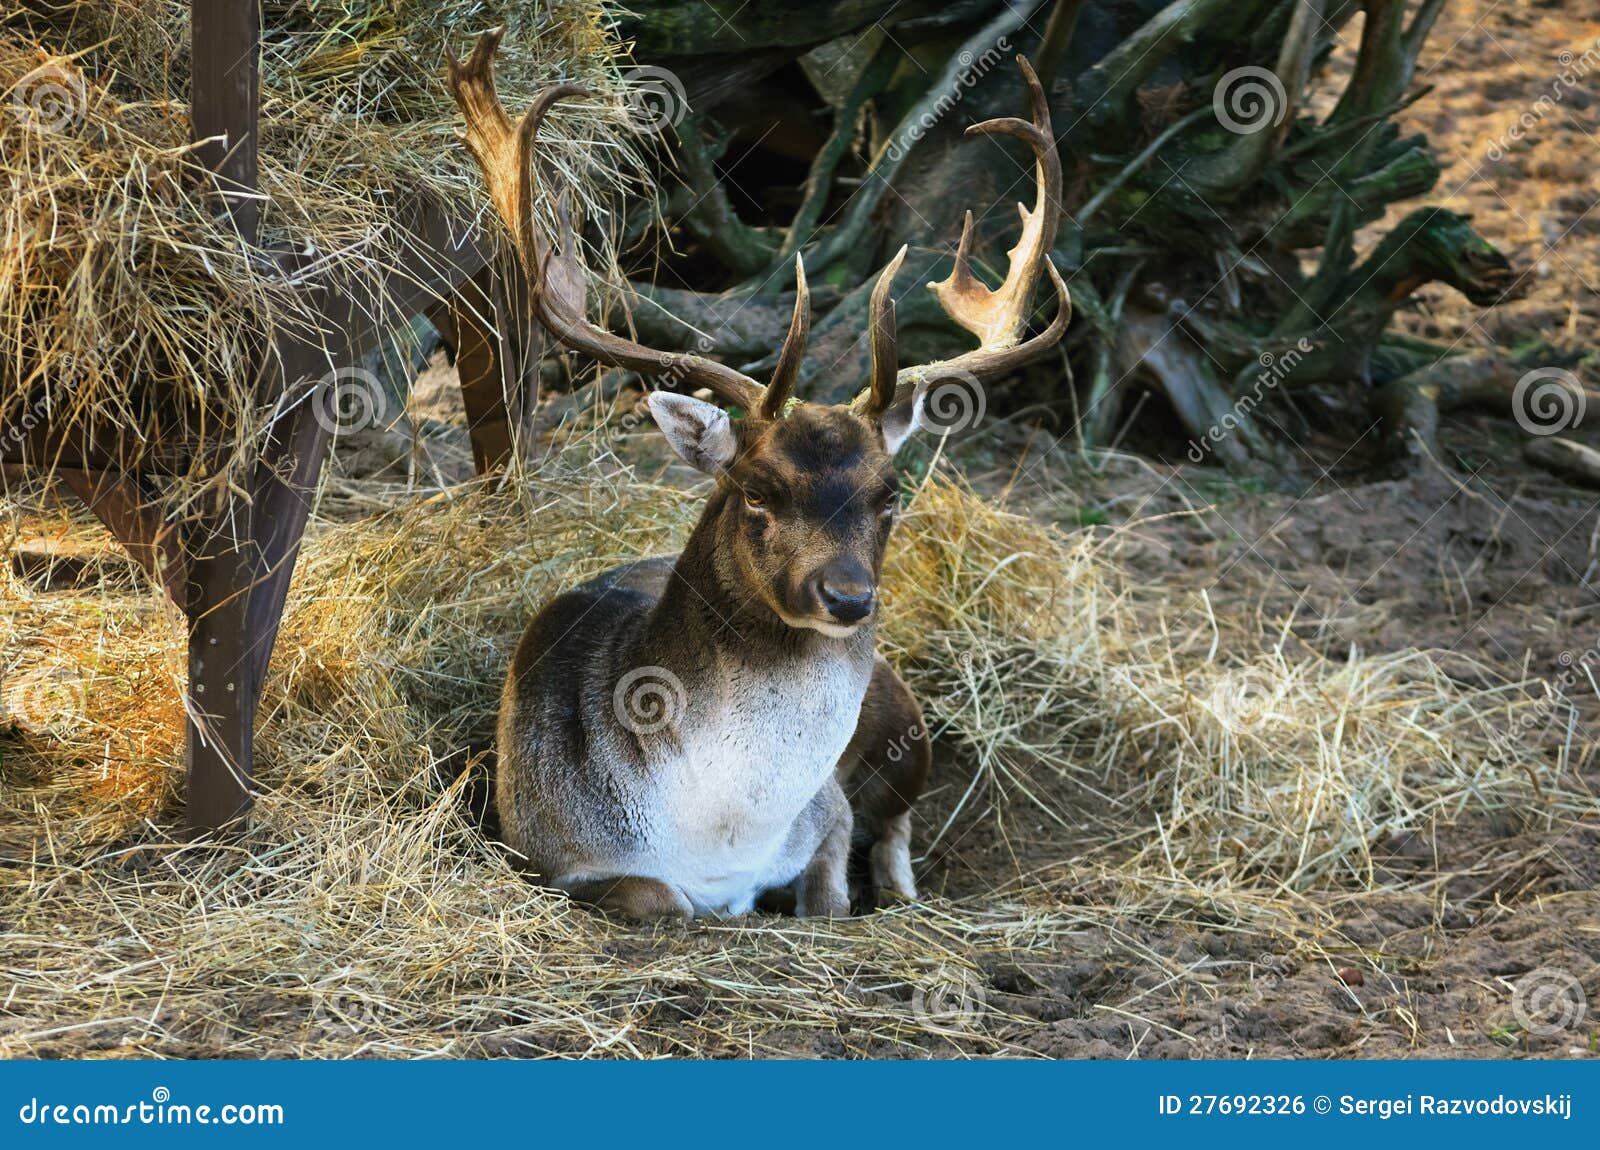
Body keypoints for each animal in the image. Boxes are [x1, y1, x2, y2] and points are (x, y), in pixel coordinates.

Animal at [446, 30, 1069, 919]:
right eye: (756, 490)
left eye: (890, 493)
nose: (847, 596)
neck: (717, 836)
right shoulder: (547, 845)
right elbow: (660, 897)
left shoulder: (826, 811)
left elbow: (832, 887)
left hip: (905, 723)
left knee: (902, 820)